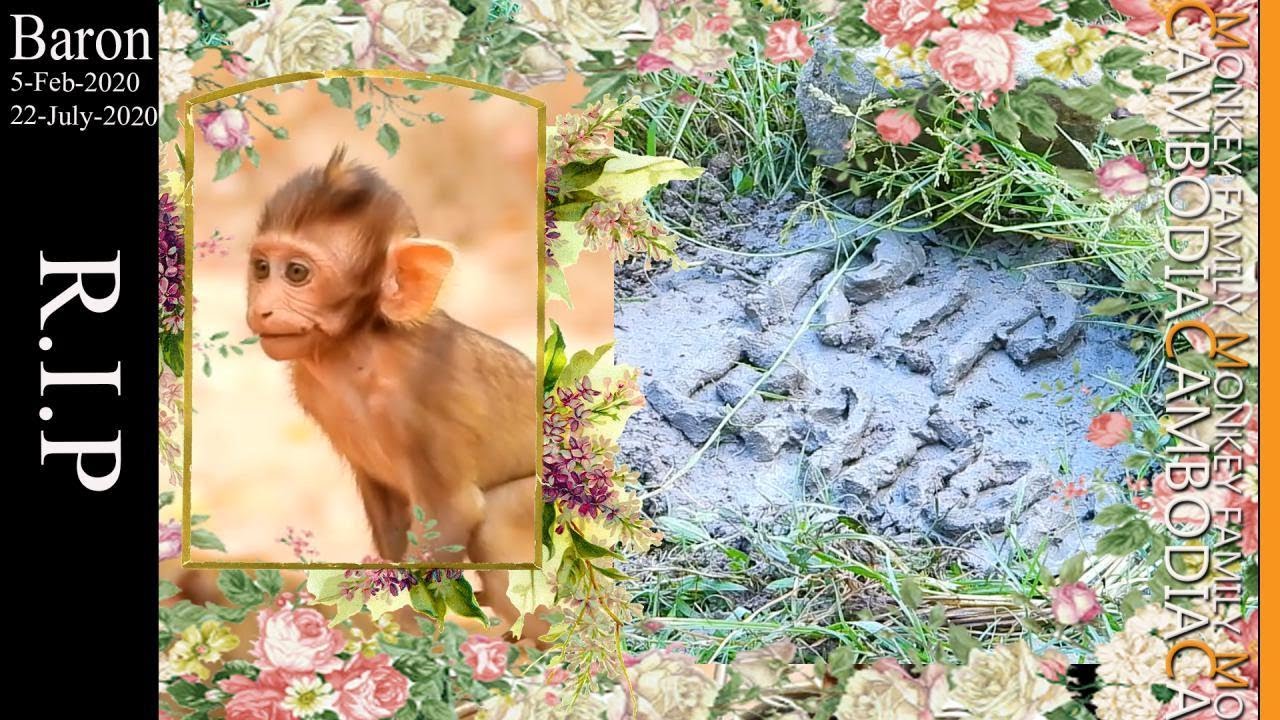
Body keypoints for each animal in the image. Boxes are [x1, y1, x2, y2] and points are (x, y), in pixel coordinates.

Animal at [245, 147, 543, 636]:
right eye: (262, 268)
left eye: (297, 272)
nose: (262, 308)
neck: (358, 354)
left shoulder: (423, 403)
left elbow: (452, 512)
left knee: (498, 520)